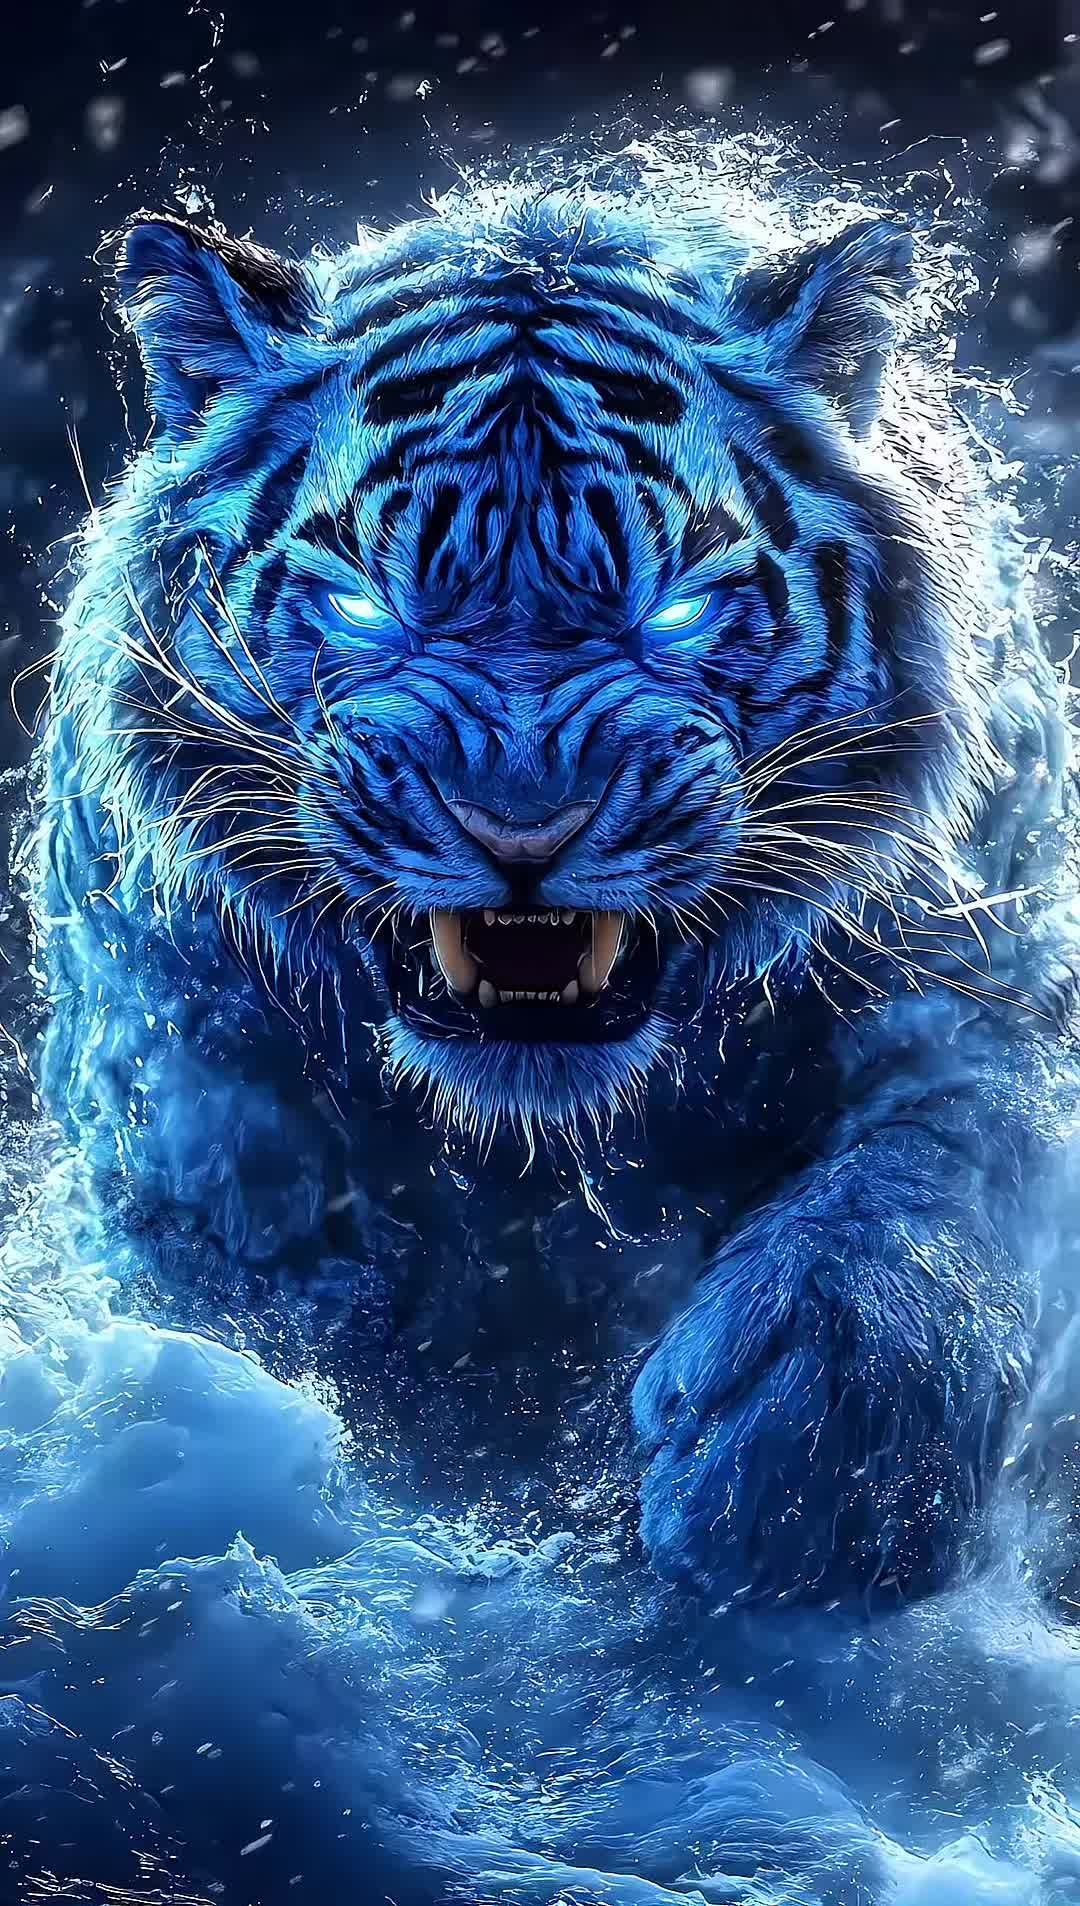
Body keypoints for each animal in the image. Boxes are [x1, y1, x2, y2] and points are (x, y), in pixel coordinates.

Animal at [41, 184, 1079, 1610]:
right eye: (361, 604)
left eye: (682, 606)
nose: (522, 826)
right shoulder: (179, 1094)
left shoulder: (988, 978)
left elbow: (941, 1174)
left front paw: (797, 1479)